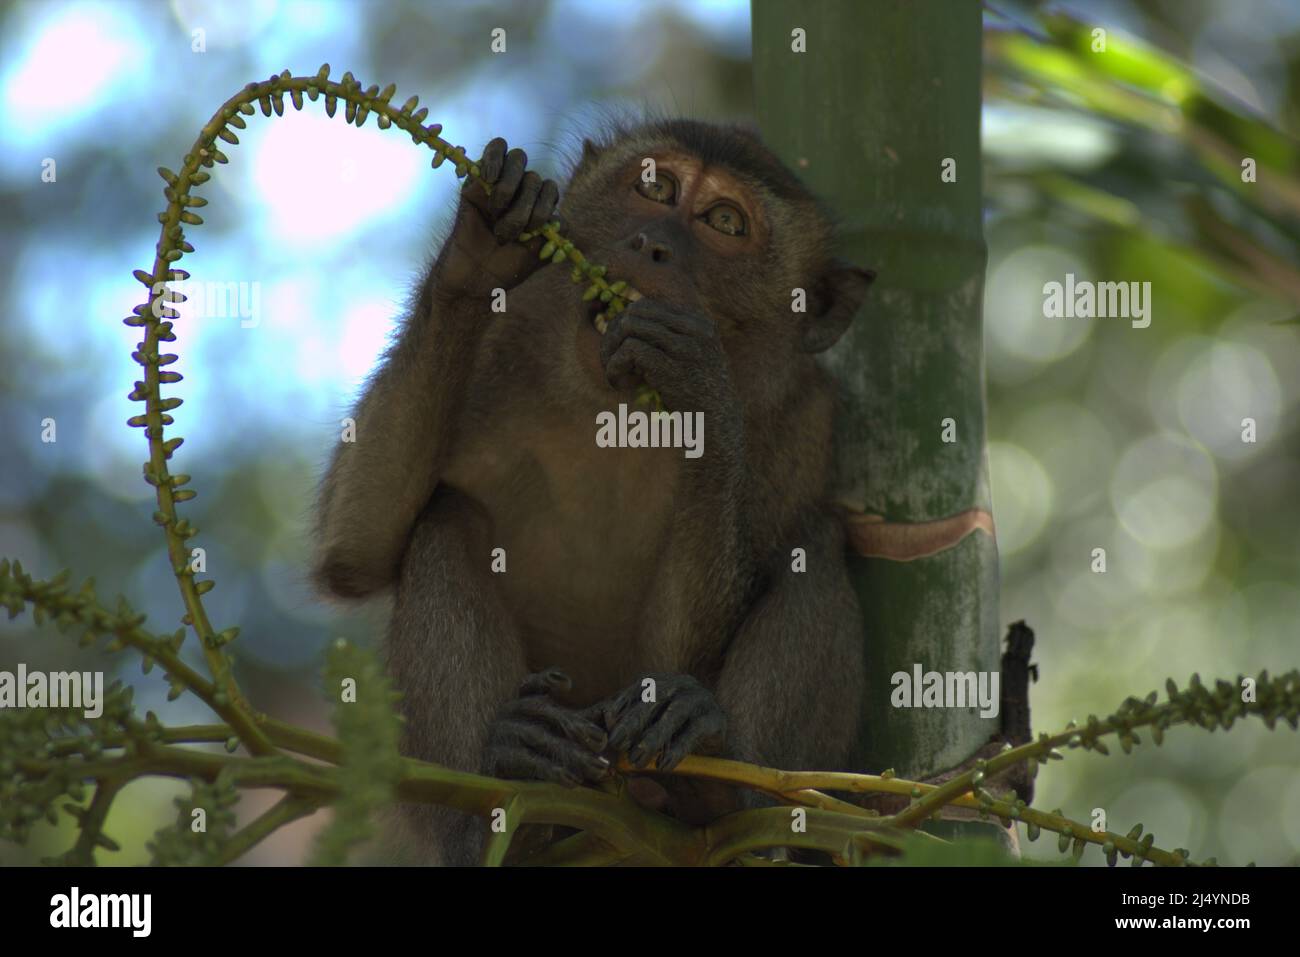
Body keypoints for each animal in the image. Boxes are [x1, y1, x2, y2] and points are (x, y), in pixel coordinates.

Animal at [313, 117, 876, 865]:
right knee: (444, 520)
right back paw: (501, 789)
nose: (652, 244)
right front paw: (482, 246)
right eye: (655, 189)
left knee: (814, 543)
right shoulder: (510, 327)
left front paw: (697, 379)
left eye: (725, 222)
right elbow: (357, 549)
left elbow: (690, 645)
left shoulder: (807, 421)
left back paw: (718, 789)